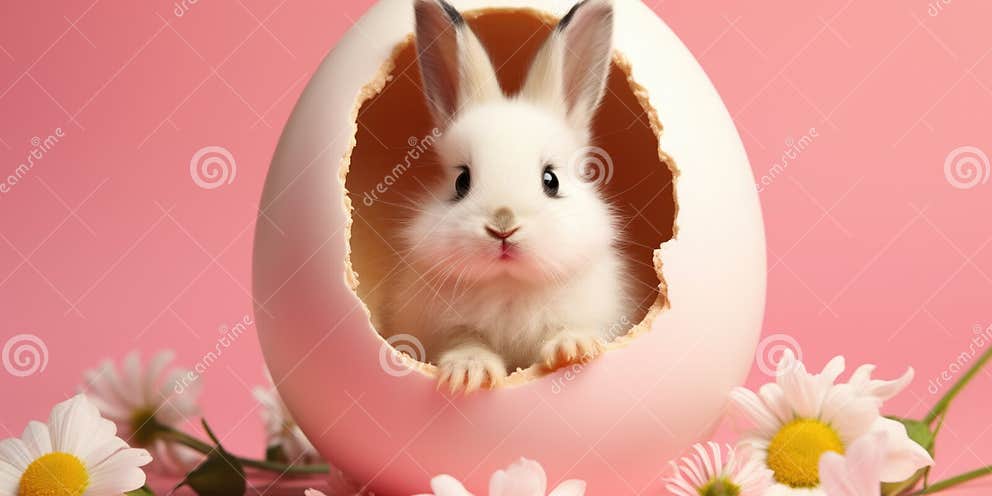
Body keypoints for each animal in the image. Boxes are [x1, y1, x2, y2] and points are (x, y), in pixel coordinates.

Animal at [384, 0, 629, 393]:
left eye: (551, 180)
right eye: (462, 182)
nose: (503, 225)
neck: (508, 283)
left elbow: (570, 330)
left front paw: (573, 349)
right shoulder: (447, 329)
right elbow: (466, 342)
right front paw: (468, 373)